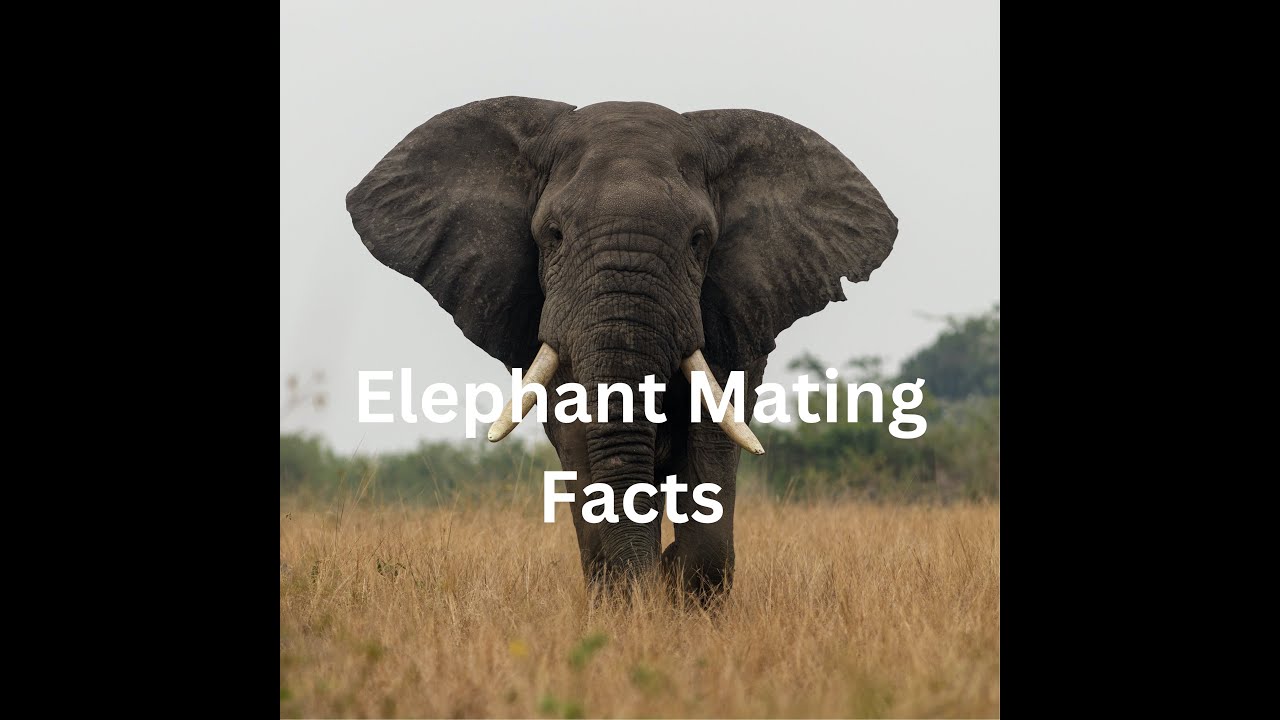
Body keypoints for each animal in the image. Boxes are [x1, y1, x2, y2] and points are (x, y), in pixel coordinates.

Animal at [346, 97, 897, 601]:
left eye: (699, 240)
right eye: (553, 235)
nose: (651, 580)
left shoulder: (730, 310)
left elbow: (711, 440)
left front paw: (677, 583)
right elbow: (581, 443)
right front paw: (631, 597)